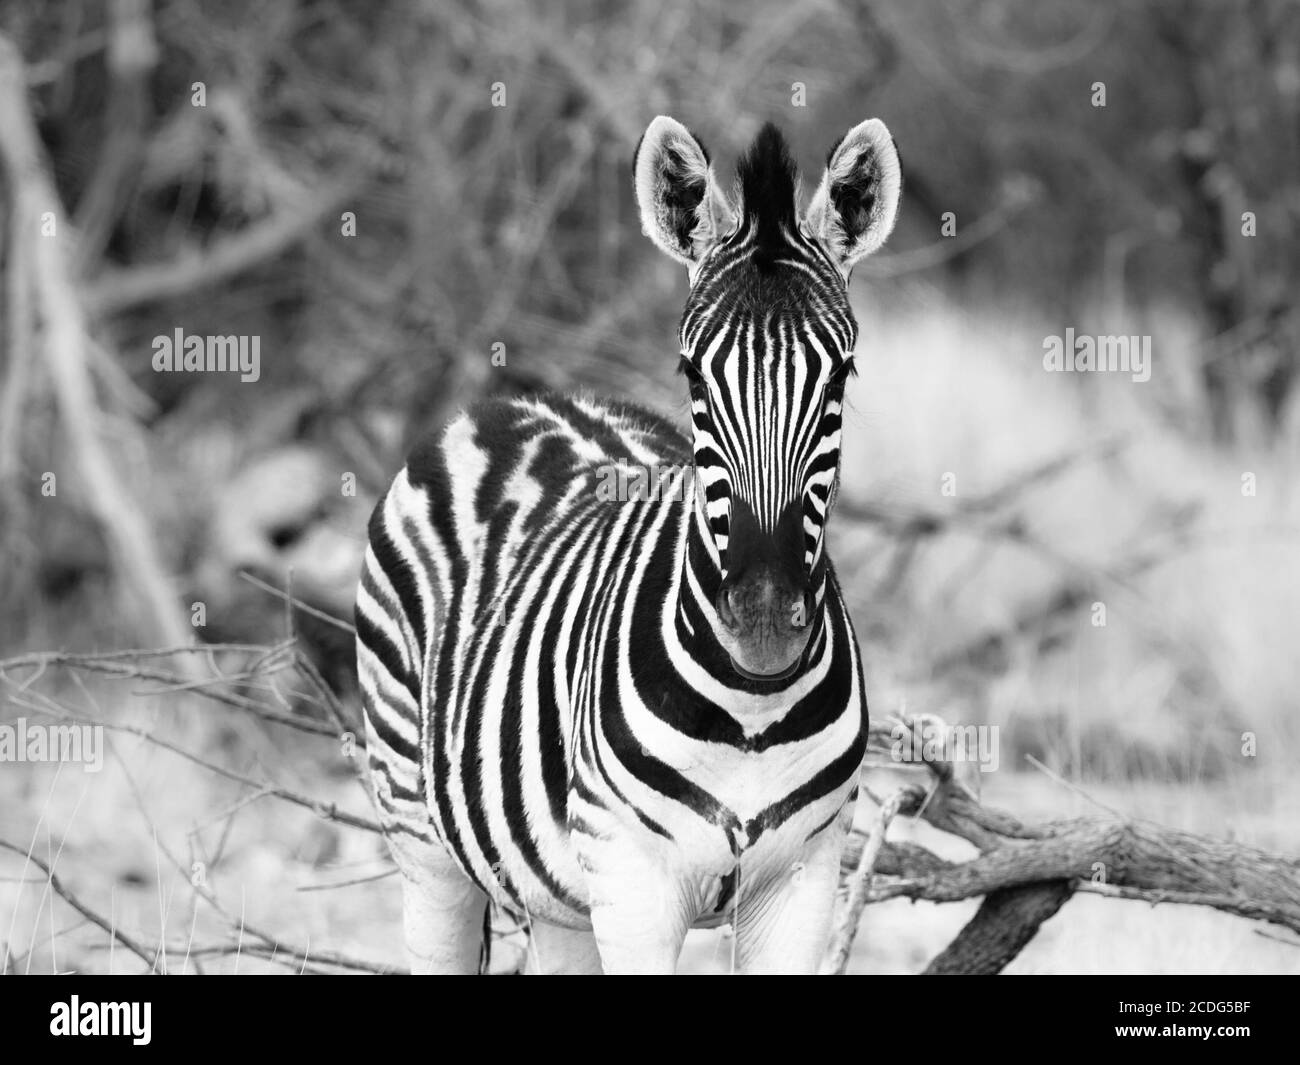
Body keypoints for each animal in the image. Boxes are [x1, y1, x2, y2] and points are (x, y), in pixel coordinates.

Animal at [355, 114, 902, 973]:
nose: (763, 621)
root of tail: (523, 399)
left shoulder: (806, 876)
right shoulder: (633, 876)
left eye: (841, 376)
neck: (751, 708)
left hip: (559, 896)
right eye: (693, 375)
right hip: (419, 831)